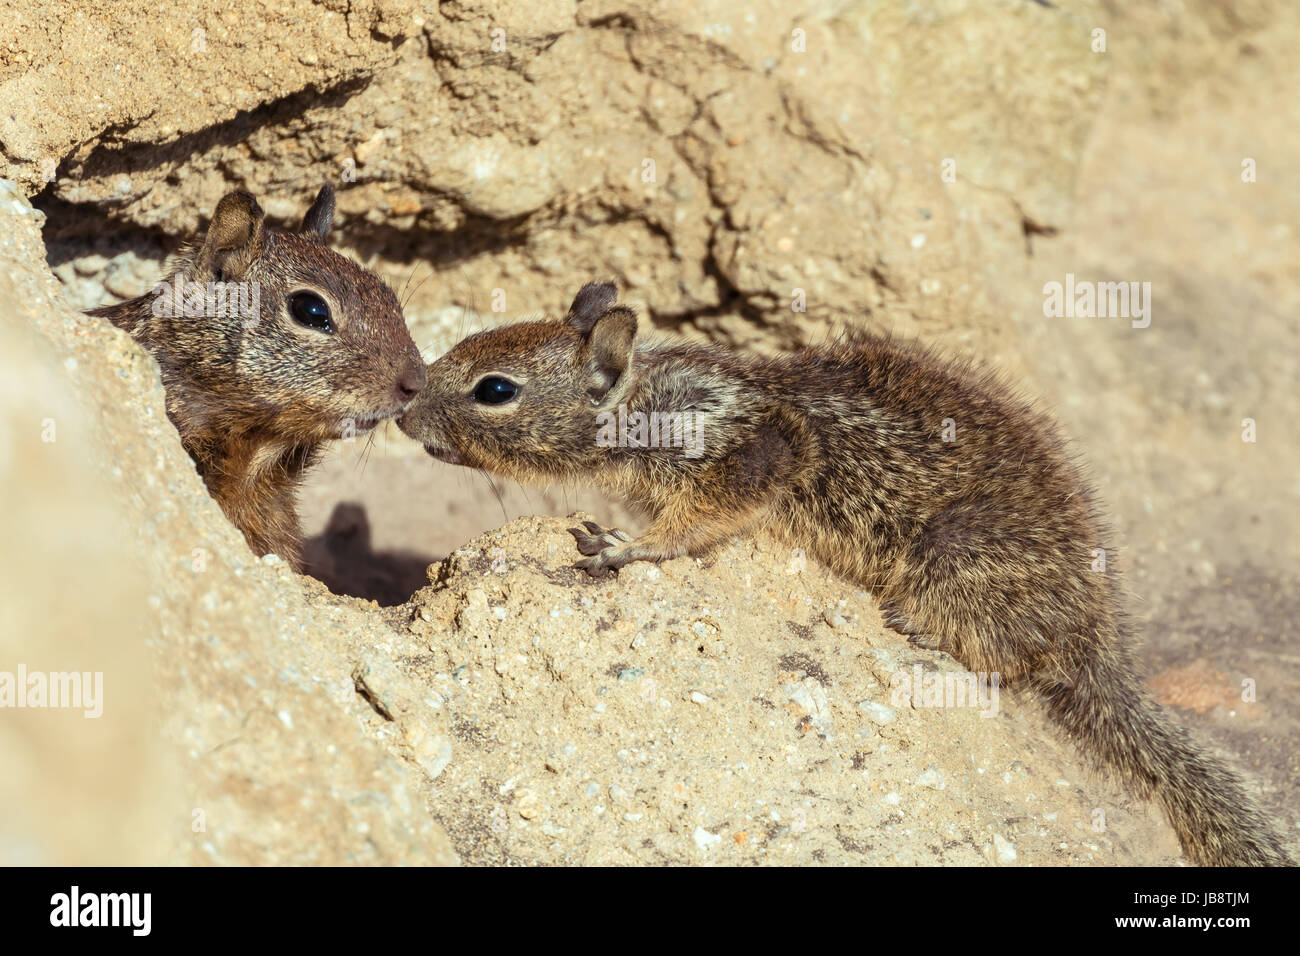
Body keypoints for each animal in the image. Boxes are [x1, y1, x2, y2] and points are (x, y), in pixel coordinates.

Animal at [396, 280, 1292, 867]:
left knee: (1007, 653)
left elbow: (703, 518)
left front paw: (629, 546)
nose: (403, 410)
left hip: (956, 551)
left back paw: (921, 626)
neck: (645, 399)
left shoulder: (749, 447)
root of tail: (1100, 639)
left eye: (494, 389)